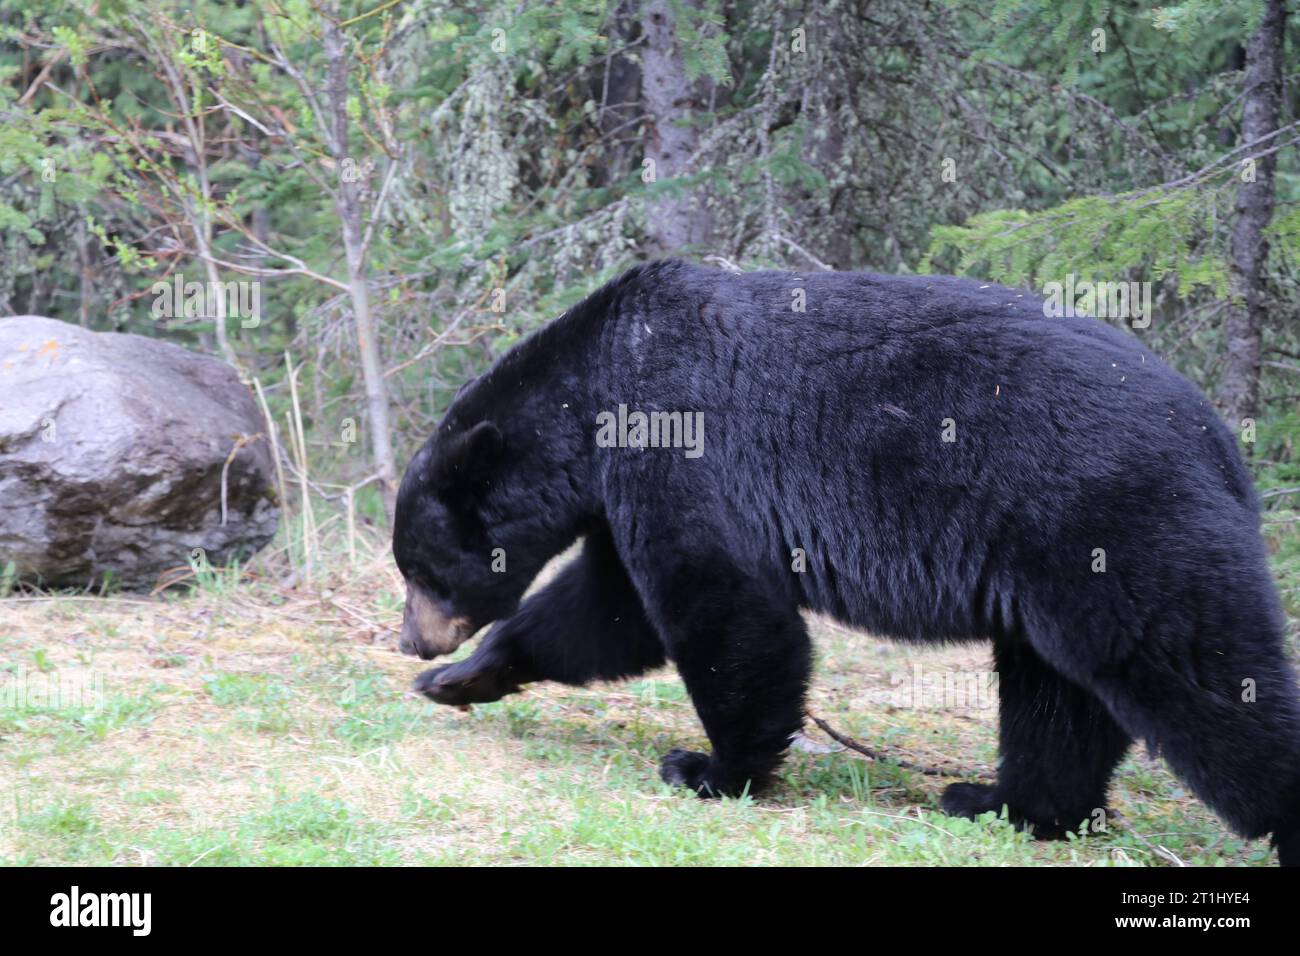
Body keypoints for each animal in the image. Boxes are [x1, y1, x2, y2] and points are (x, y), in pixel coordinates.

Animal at [392, 259, 1300, 864]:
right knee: (1057, 698)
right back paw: (1001, 803)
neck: (594, 395)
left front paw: (710, 768)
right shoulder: (627, 492)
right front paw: (461, 679)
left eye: (421, 571)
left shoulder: (682, 454)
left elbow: (724, 611)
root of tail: (1221, 442)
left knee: (1203, 676)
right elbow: (607, 612)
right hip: (1061, 565)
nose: (410, 640)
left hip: (1114, 521)